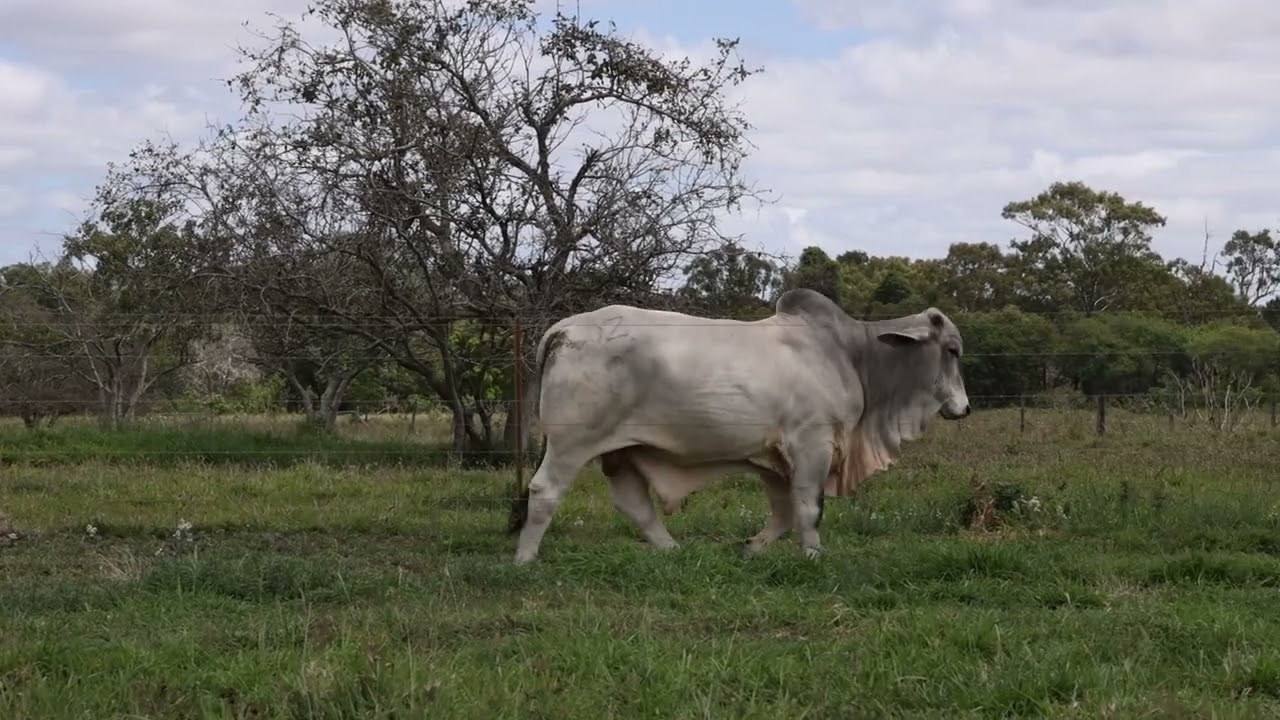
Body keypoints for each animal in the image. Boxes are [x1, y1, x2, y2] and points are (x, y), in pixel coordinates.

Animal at [507, 288, 970, 564]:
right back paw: (525, 560)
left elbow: (784, 513)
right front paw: (813, 556)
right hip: (571, 443)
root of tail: (565, 327)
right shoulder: (812, 443)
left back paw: (673, 550)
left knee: (633, 503)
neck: (849, 354)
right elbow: (809, 508)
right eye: (952, 349)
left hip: (618, 451)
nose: (964, 409)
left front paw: (751, 548)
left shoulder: (772, 458)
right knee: (545, 492)